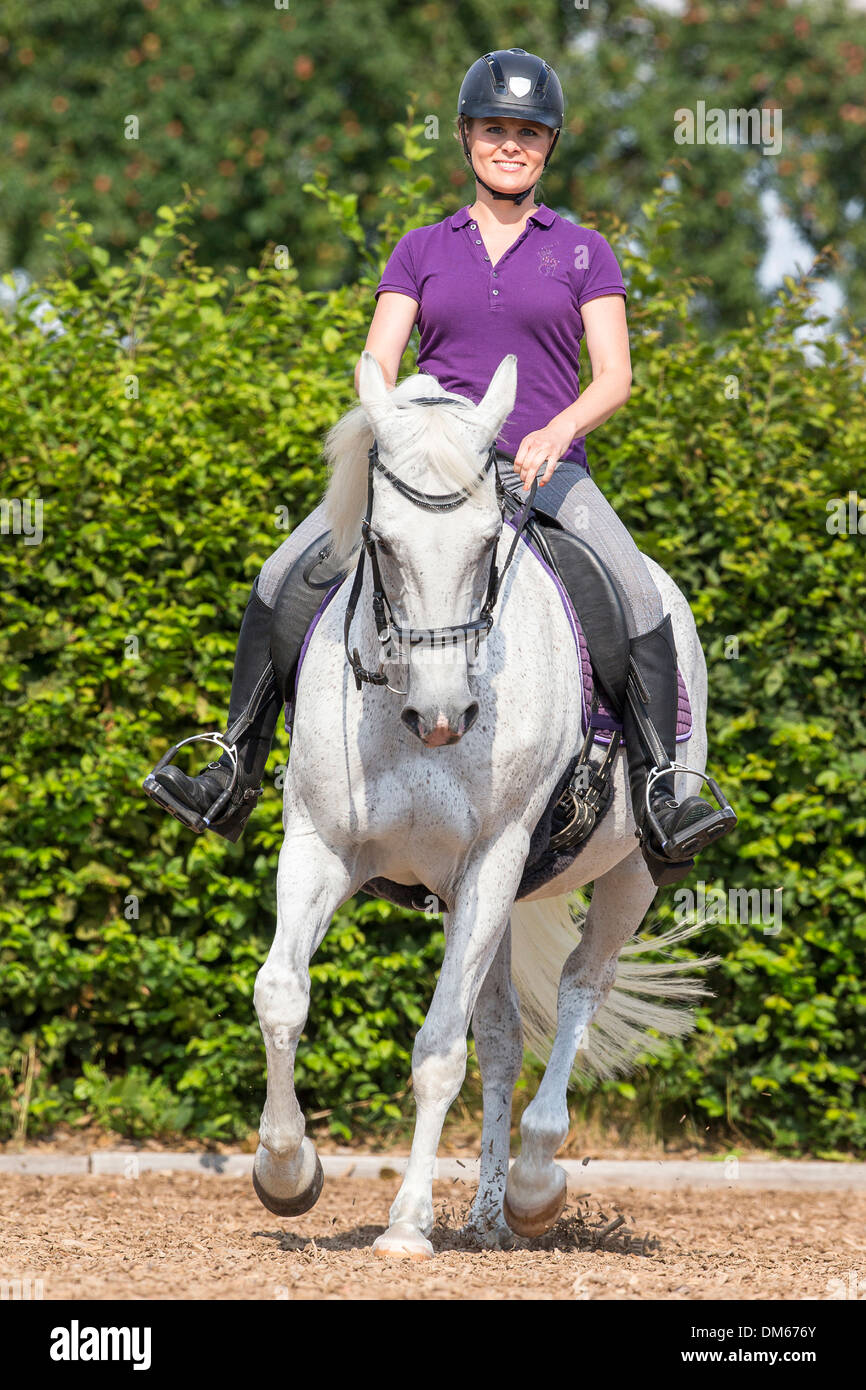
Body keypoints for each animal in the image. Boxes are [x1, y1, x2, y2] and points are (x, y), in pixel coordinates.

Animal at [251, 350, 714, 1259]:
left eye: (485, 546)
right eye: (382, 545)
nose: (443, 716)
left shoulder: (493, 859)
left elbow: (438, 1047)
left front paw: (405, 1225)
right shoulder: (320, 846)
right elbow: (281, 992)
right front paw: (287, 1171)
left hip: (630, 871)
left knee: (580, 988)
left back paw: (534, 1184)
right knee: (502, 1037)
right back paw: (490, 1216)